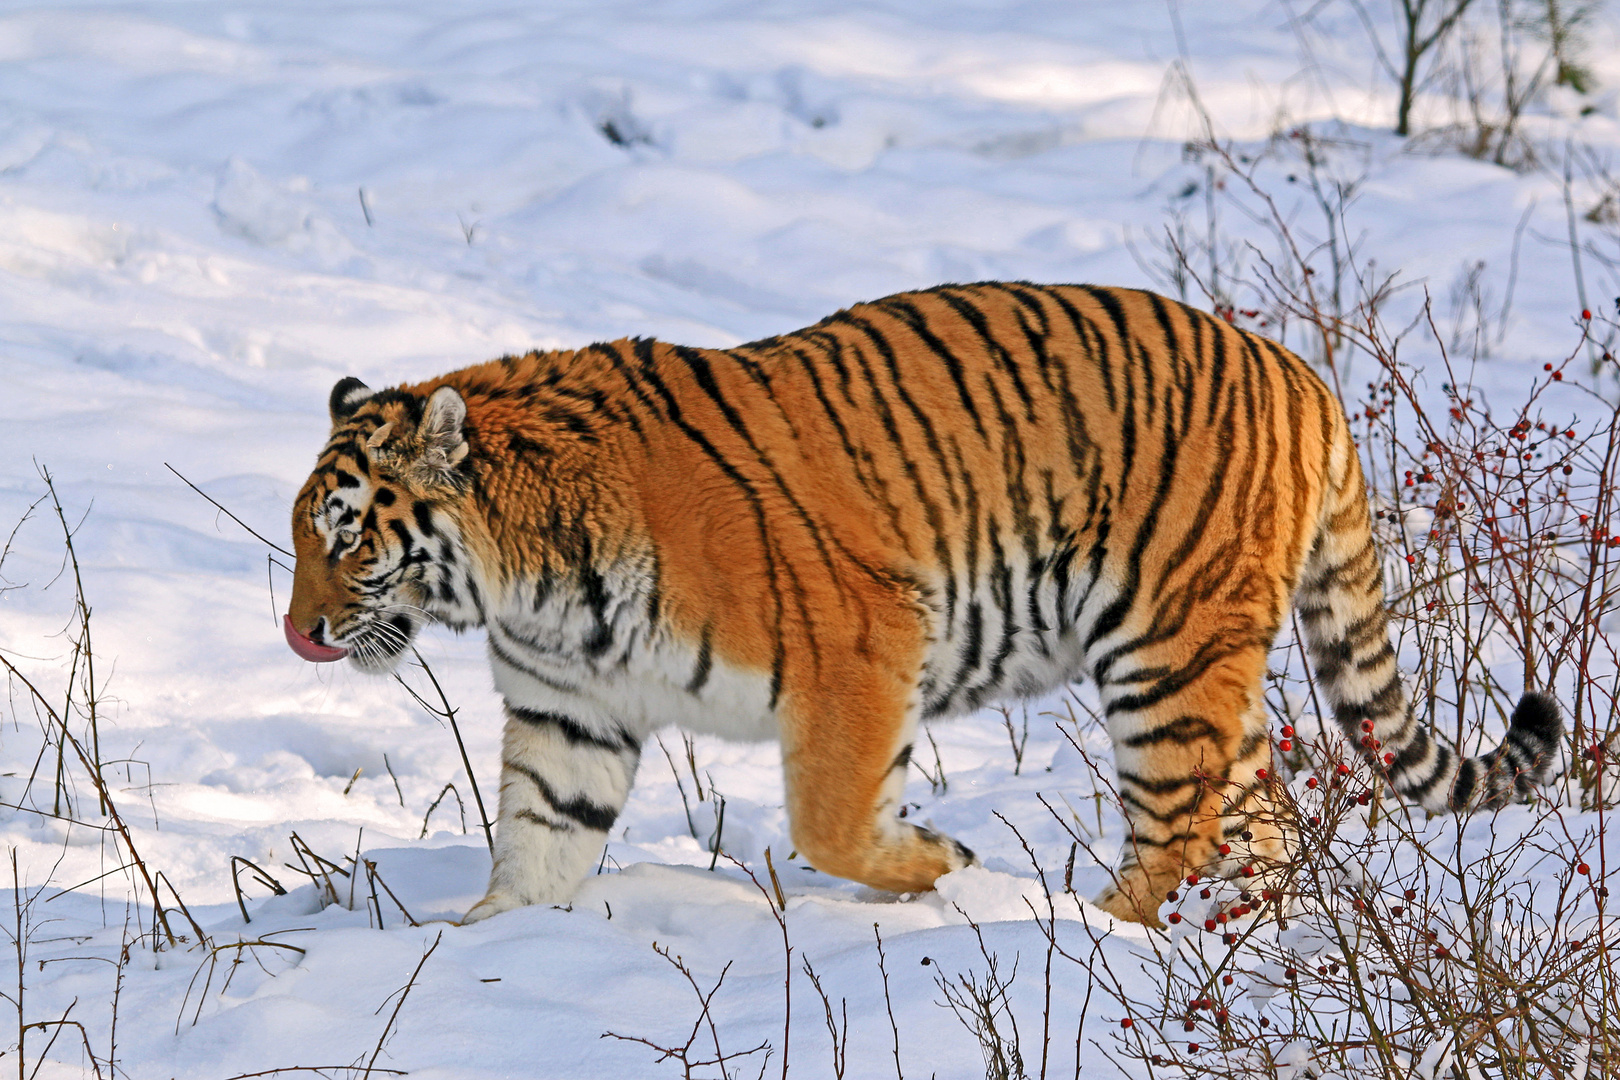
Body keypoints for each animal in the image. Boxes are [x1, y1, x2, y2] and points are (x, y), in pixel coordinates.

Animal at [285, 282, 1562, 925]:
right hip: (1215, 671)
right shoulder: (572, 711)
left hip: (1166, 652)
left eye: (345, 535)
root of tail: (1299, 371)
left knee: (1183, 822)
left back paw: (1092, 932)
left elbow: (832, 823)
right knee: (1262, 821)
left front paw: (945, 867)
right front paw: (473, 957)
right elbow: (535, 856)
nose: (297, 635)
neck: (533, 583)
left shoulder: (860, 647)